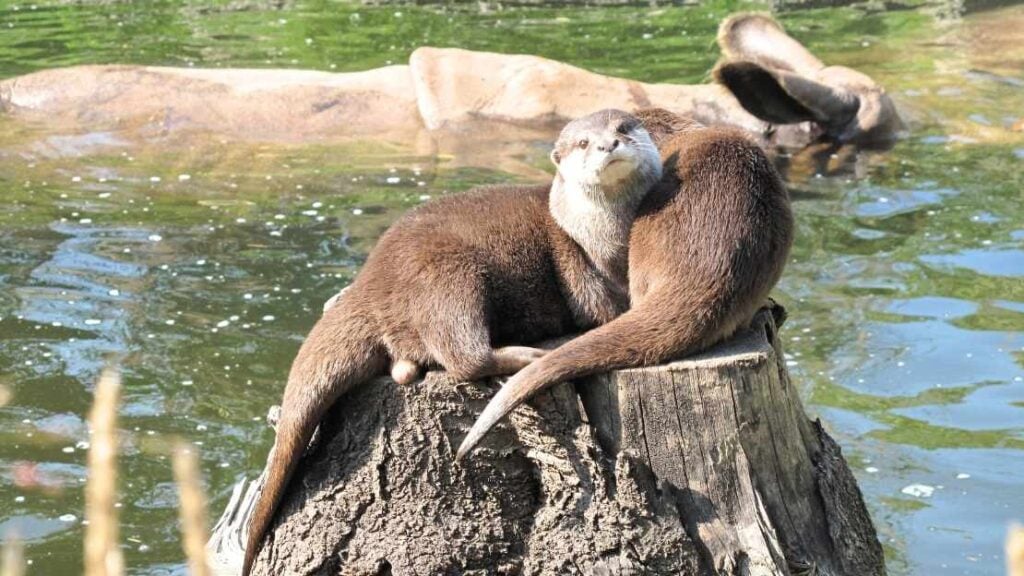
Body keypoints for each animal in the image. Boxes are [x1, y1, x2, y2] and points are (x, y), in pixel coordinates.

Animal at [242, 109, 662, 575]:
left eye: (623, 128)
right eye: (584, 142)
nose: (608, 144)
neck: (607, 235)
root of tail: (371, 283)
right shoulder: (585, 270)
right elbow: (605, 311)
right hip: (449, 276)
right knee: (464, 356)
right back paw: (526, 355)